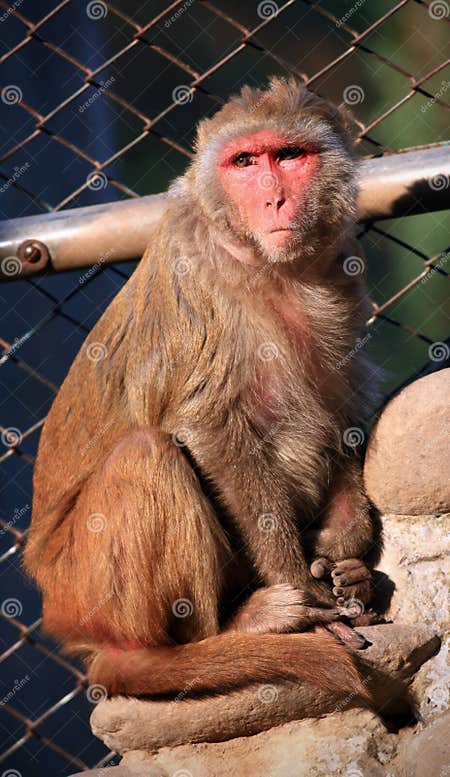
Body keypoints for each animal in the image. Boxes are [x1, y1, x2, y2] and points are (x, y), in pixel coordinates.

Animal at [24, 77, 379, 711]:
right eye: (244, 162)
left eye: (289, 155)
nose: (274, 199)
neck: (265, 264)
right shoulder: (203, 278)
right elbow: (211, 427)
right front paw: (302, 585)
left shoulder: (342, 273)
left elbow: (338, 405)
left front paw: (348, 550)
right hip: (83, 589)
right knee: (147, 455)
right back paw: (219, 637)